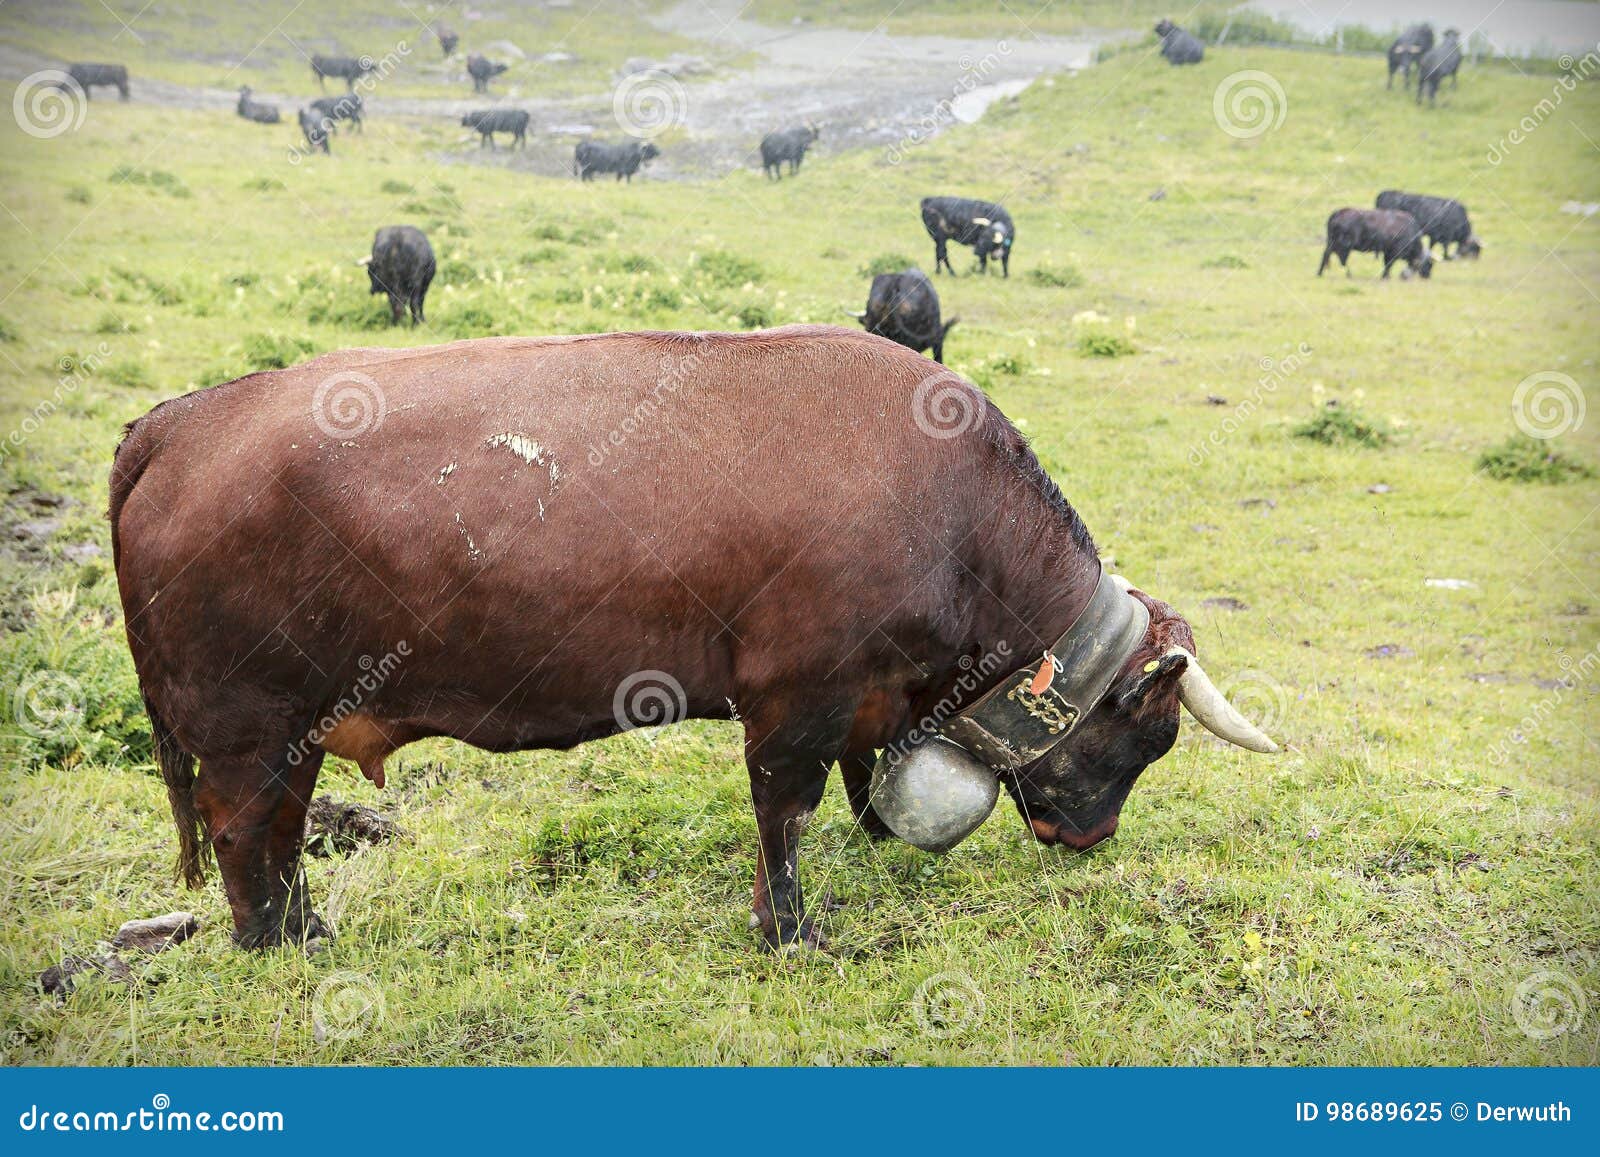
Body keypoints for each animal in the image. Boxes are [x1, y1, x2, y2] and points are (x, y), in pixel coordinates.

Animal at [110, 325, 1279, 953]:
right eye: (1148, 735)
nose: (1089, 838)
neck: (953, 513)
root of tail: (186, 417)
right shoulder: (796, 697)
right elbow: (785, 816)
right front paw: (790, 930)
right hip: (249, 722)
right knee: (242, 832)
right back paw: (272, 944)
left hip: (293, 725)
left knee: (278, 831)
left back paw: (302, 929)